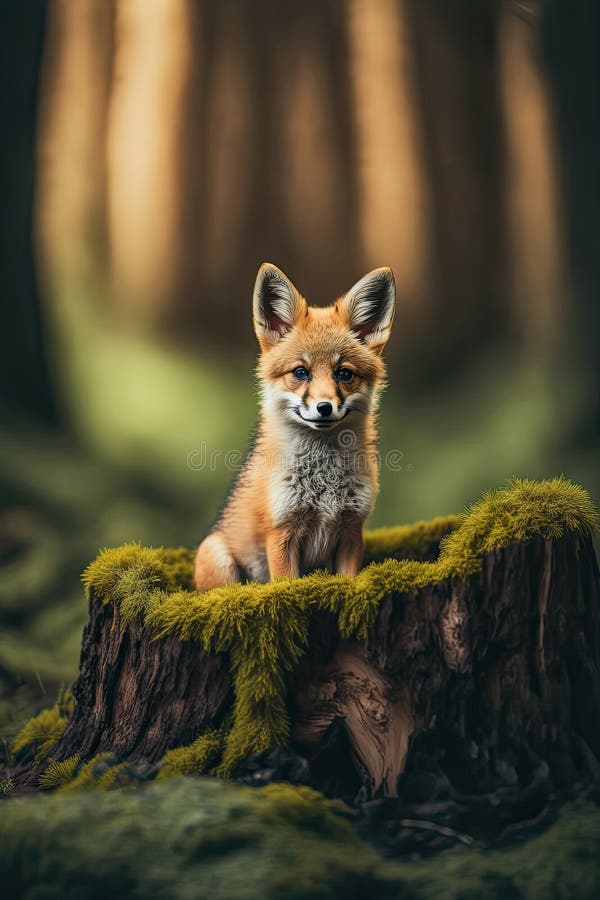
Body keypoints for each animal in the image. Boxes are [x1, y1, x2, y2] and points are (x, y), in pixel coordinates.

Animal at [194, 262, 396, 591]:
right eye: (301, 372)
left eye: (344, 374)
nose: (324, 407)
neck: (325, 487)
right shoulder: (281, 532)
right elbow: (287, 584)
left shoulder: (351, 529)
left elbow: (348, 581)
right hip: (218, 558)